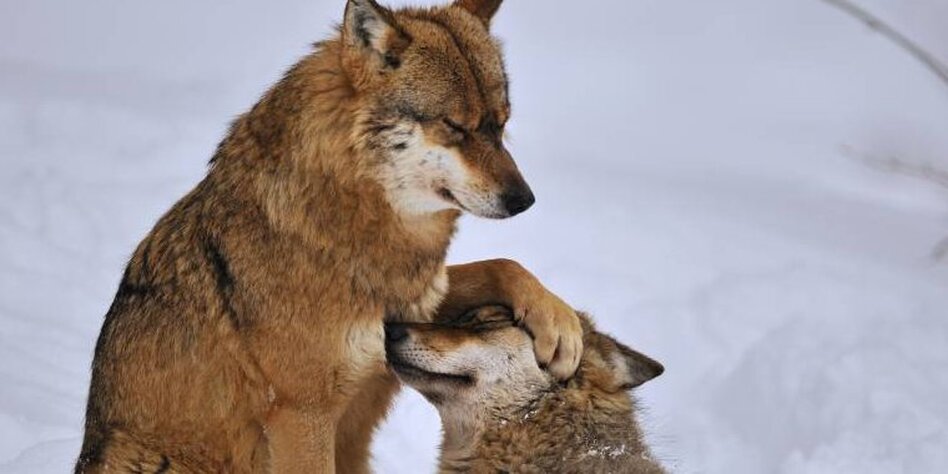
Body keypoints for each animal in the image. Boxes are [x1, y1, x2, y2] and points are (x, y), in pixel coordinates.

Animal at [76, 0, 584, 472]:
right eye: (454, 126)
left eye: (501, 124)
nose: (524, 199)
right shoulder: (303, 415)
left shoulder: (413, 305)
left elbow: (502, 264)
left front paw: (560, 326)